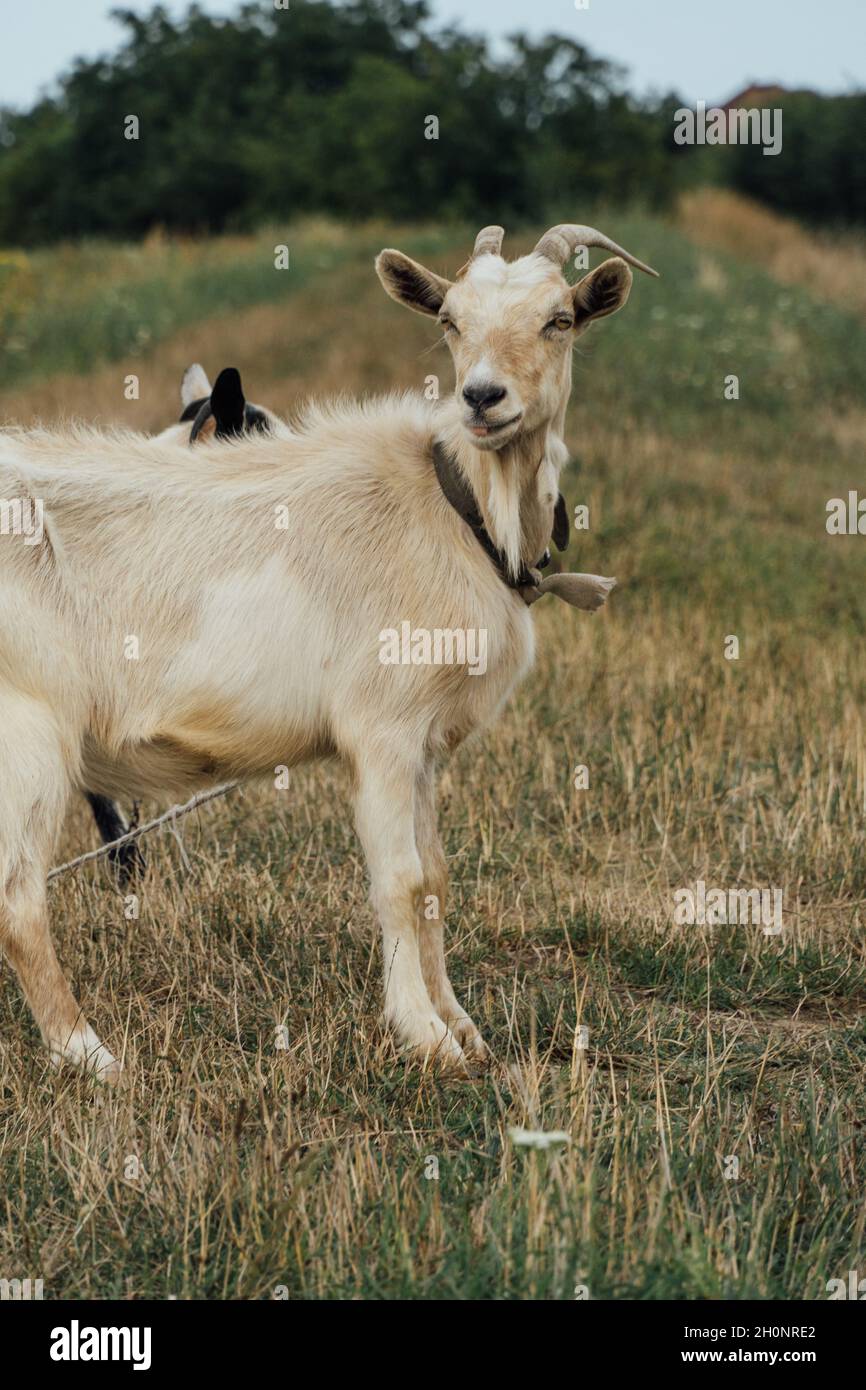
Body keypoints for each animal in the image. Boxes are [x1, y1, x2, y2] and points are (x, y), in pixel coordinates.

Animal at [0, 223, 656, 1078]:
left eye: (560, 319)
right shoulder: (380, 730)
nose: (482, 398)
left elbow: (435, 878)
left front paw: (465, 1030)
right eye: (450, 320)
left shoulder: (423, 744)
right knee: (18, 898)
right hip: (29, 731)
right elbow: (400, 882)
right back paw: (89, 1055)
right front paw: (424, 1036)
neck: (460, 511)